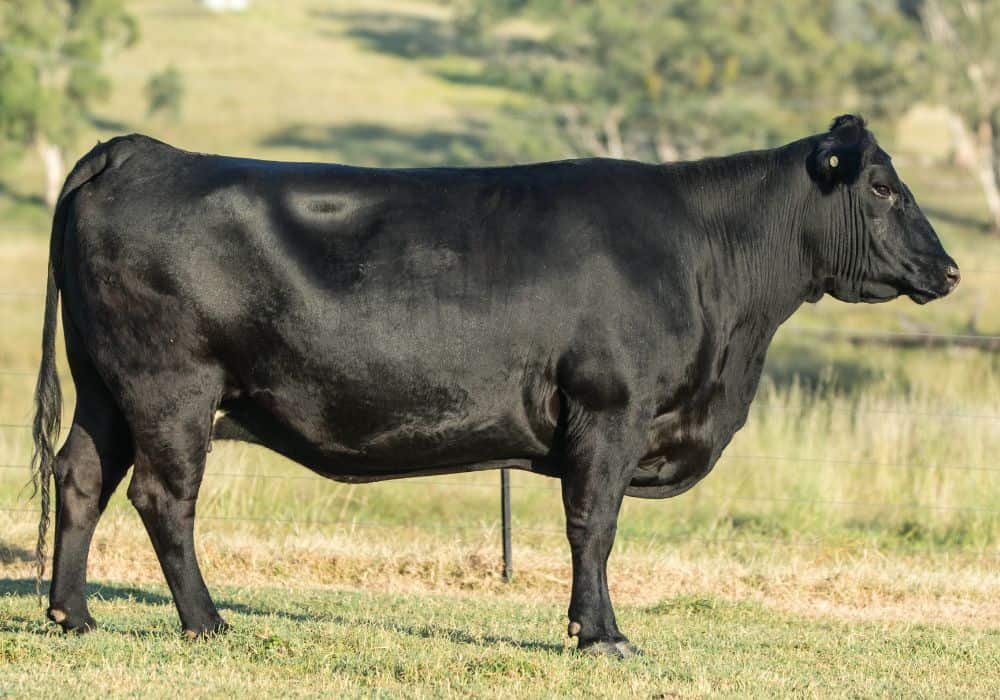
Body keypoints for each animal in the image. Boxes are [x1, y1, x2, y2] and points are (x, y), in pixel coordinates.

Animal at [31, 115, 958, 656]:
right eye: (883, 186)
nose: (948, 269)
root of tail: (138, 150)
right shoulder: (610, 411)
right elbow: (594, 527)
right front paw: (600, 636)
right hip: (172, 386)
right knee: (162, 495)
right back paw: (207, 622)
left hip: (106, 388)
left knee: (80, 475)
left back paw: (71, 615)